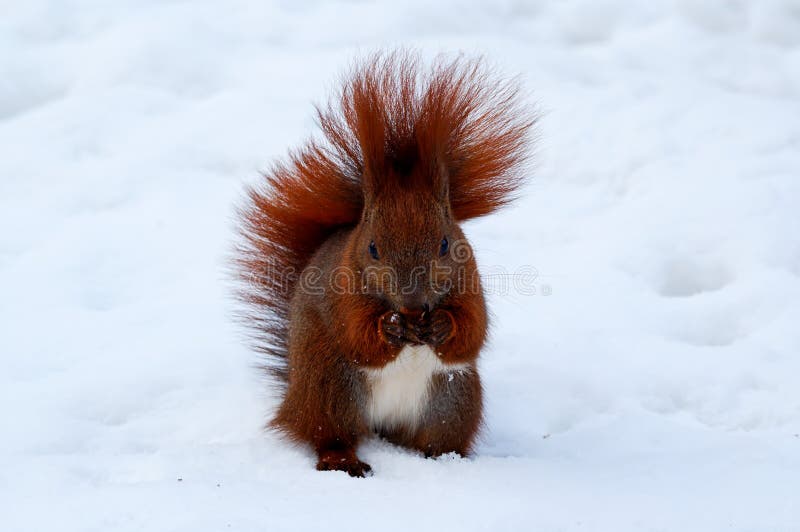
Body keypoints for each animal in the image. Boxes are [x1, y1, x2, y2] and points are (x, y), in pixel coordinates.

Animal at [235, 52, 534, 477]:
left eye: (446, 243)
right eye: (373, 248)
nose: (413, 305)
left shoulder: (470, 282)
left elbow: (472, 330)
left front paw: (443, 324)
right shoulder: (340, 292)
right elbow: (358, 335)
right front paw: (388, 326)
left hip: (453, 400)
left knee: (434, 437)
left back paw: (445, 460)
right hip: (332, 389)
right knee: (331, 435)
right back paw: (344, 460)